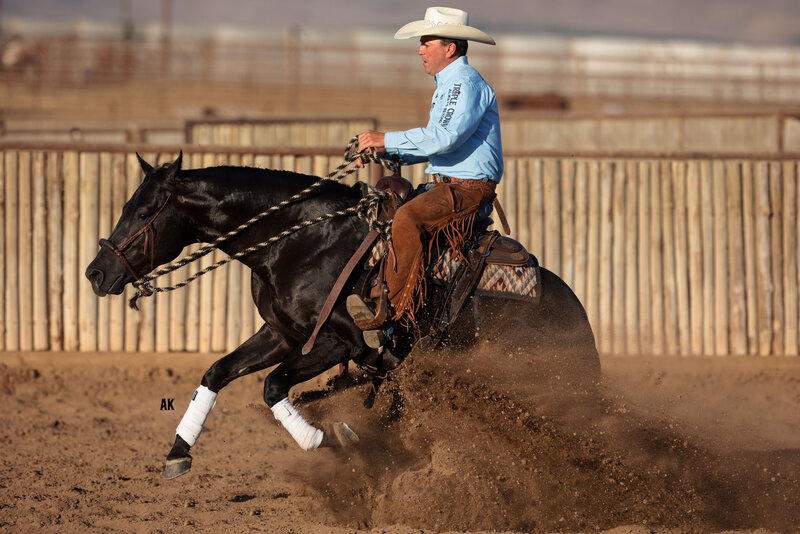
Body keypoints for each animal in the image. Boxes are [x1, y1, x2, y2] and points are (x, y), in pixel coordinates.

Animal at [85, 152, 600, 480]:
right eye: (127, 205)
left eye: (145, 212)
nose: (95, 272)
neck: (296, 239)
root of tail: (575, 312)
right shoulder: (283, 332)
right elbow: (216, 373)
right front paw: (177, 452)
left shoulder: (341, 341)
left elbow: (273, 385)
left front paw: (333, 436)